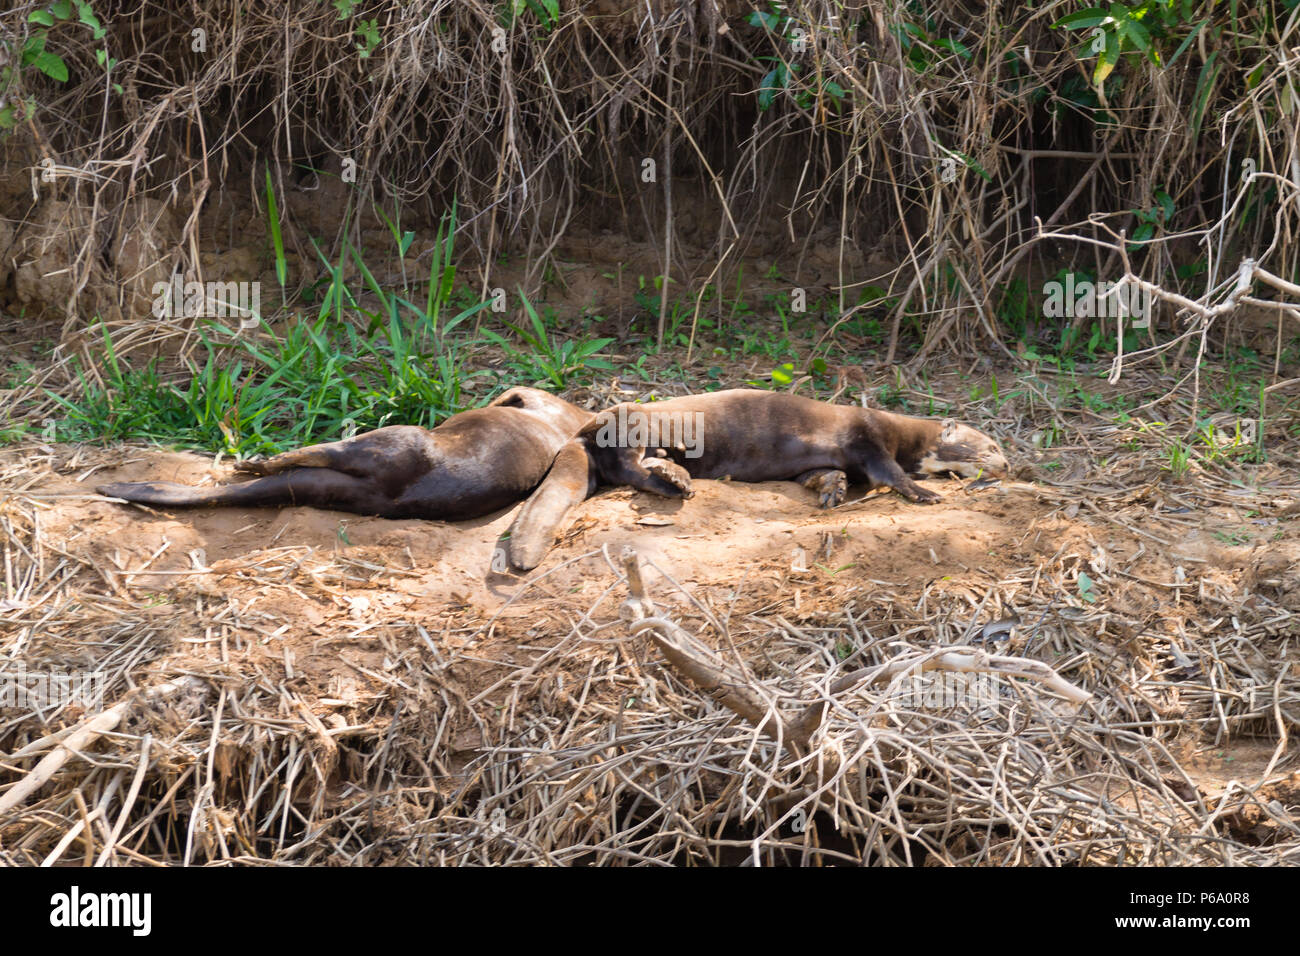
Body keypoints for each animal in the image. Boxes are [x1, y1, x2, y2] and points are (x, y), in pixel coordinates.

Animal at [507, 389, 1008, 570]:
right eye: (992, 447)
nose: (1006, 464)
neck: (901, 431)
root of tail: (582, 431)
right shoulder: (867, 436)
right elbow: (890, 471)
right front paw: (923, 491)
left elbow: (822, 474)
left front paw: (833, 489)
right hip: (632, 418)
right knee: (631, 462)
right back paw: (675, 473)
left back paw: (672, 471)